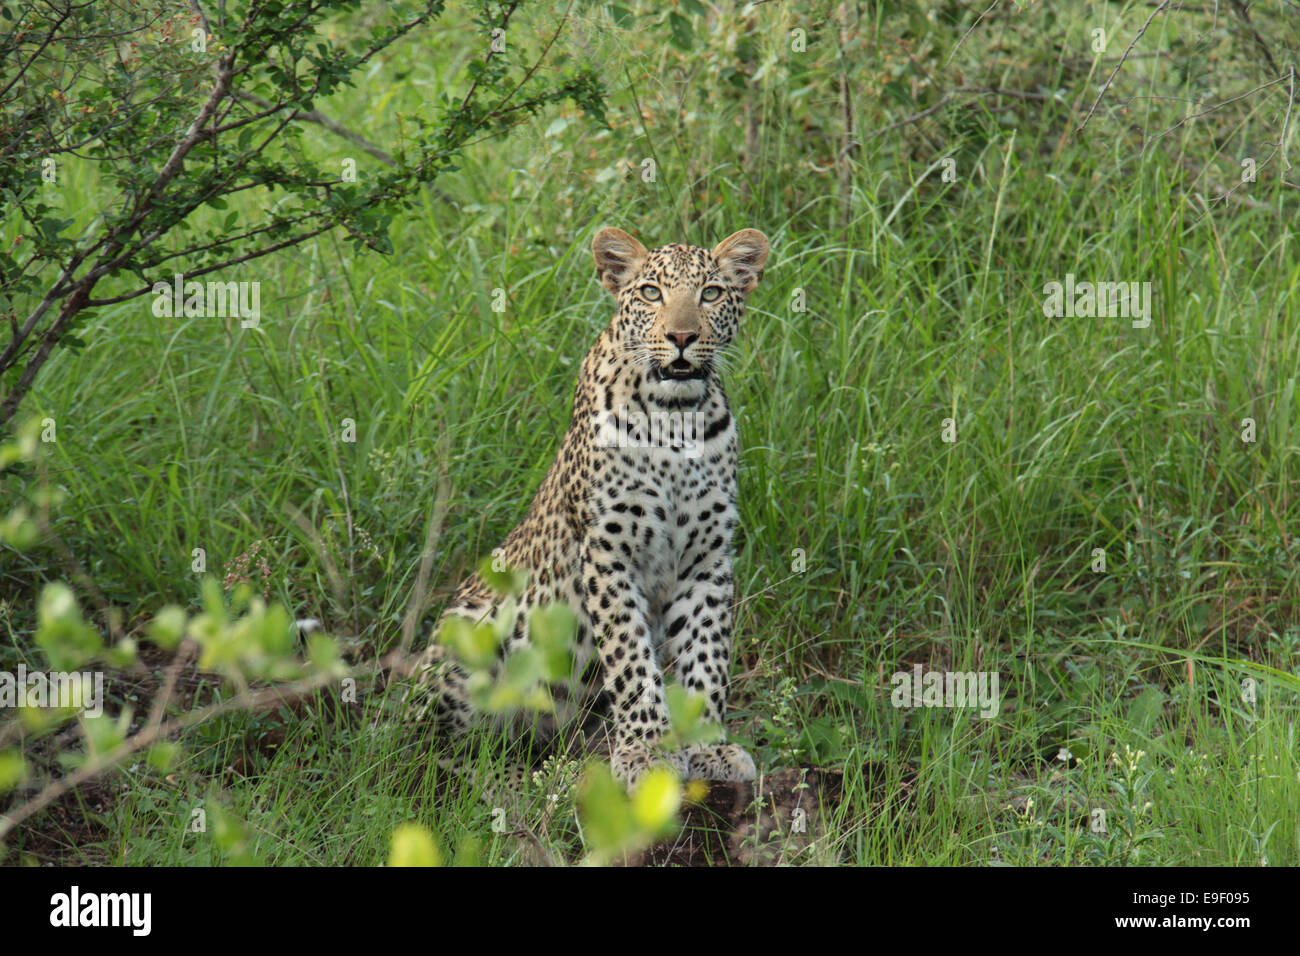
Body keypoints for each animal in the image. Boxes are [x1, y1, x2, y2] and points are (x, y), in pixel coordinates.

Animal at [406, 226, 770, 788]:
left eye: (710, 293)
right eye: (651, 293)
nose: (682, 337)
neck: (675, 417)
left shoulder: (707, 561)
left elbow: (706, 657)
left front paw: (709, 746)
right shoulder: (607, 554)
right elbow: (631, 660)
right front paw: (647, 752)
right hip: (467, 631)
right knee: (429, 753)